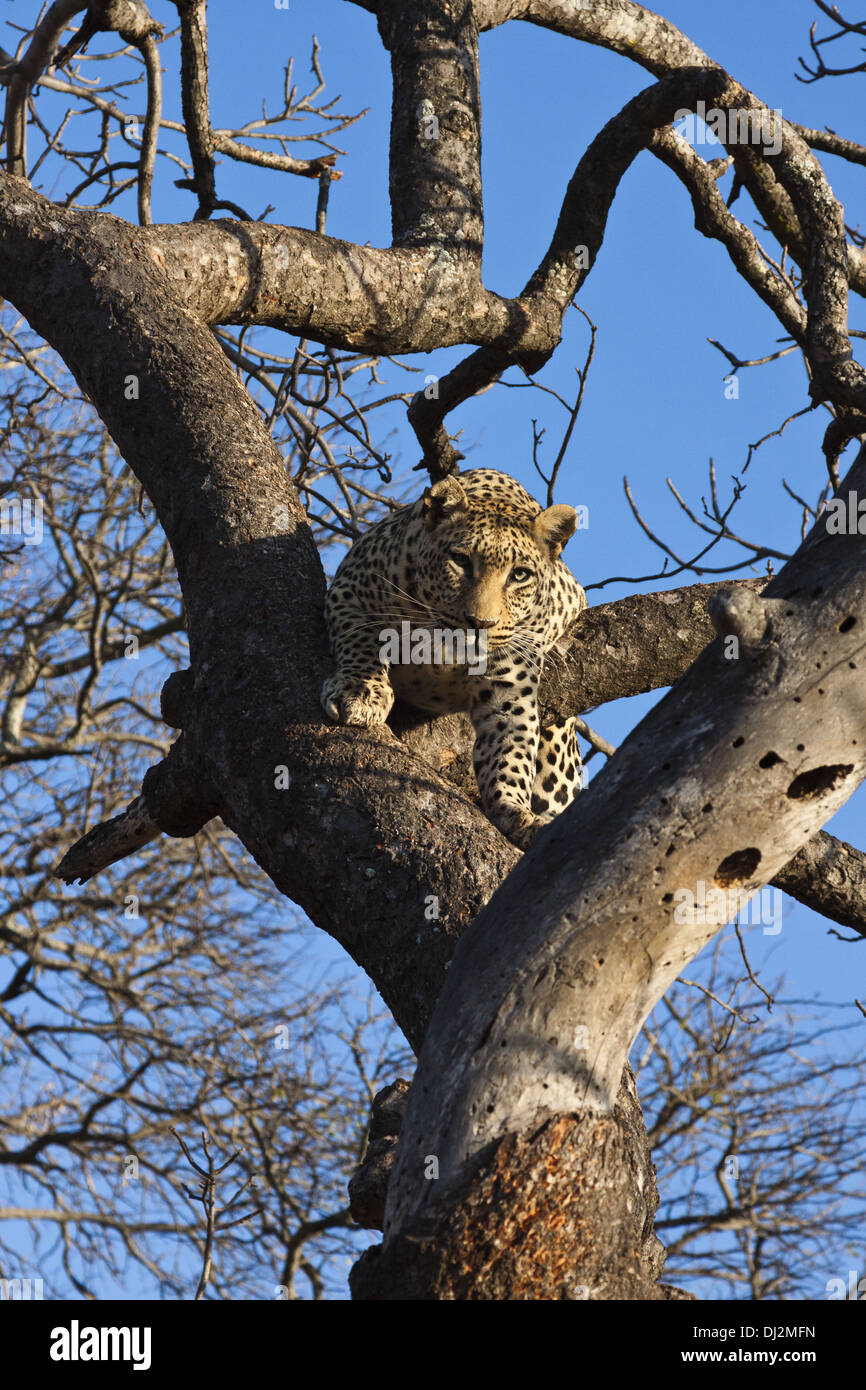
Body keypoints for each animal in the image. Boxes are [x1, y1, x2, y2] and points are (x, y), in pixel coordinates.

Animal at [321, 468, 587, 848]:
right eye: (460, 561)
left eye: (519, 575)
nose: (481, 623)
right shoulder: (352, 586)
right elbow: (361, 638)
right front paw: (360, 692)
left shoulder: (511, 683)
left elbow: (513, 748)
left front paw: (516, 811)